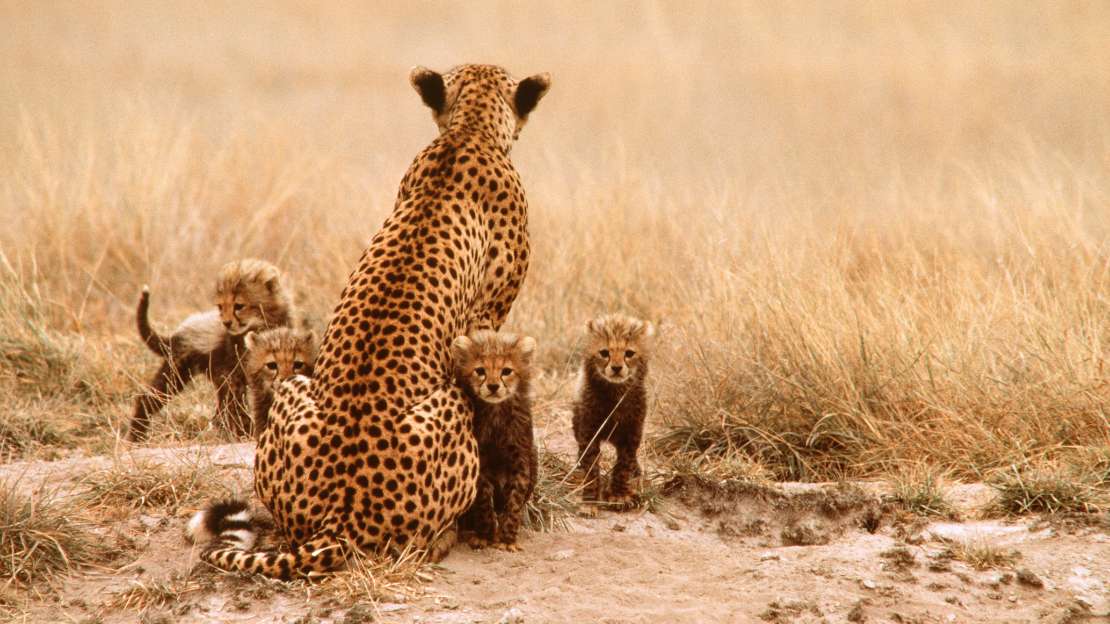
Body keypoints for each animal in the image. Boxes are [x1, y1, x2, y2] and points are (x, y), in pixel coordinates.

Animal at [129, 259, 296, 442]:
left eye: (239, 306)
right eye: (221, 307)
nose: (226, 323)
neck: (261, 325)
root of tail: (179, 331)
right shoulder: (234, 375)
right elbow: (238, 408)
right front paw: (246, 433)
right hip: (175, 374)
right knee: (146, 399)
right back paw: (136, 436)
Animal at [451, 330, 538, 552]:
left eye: (506, 371)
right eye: (480, 371)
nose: (493, 386)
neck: (496, 411)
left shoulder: (520, 461)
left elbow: (514, 502)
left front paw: (507, 538)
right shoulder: (481, 460)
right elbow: (483, 499)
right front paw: (486, 534)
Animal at [572, 314, 655, 510]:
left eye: (629, 353)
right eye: (604, 353)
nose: (616, 368)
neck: (616, 391)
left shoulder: (632, 431)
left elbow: (623, 464)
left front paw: (618, 494)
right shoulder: (589, 431)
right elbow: (591, 465)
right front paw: (590, 500)